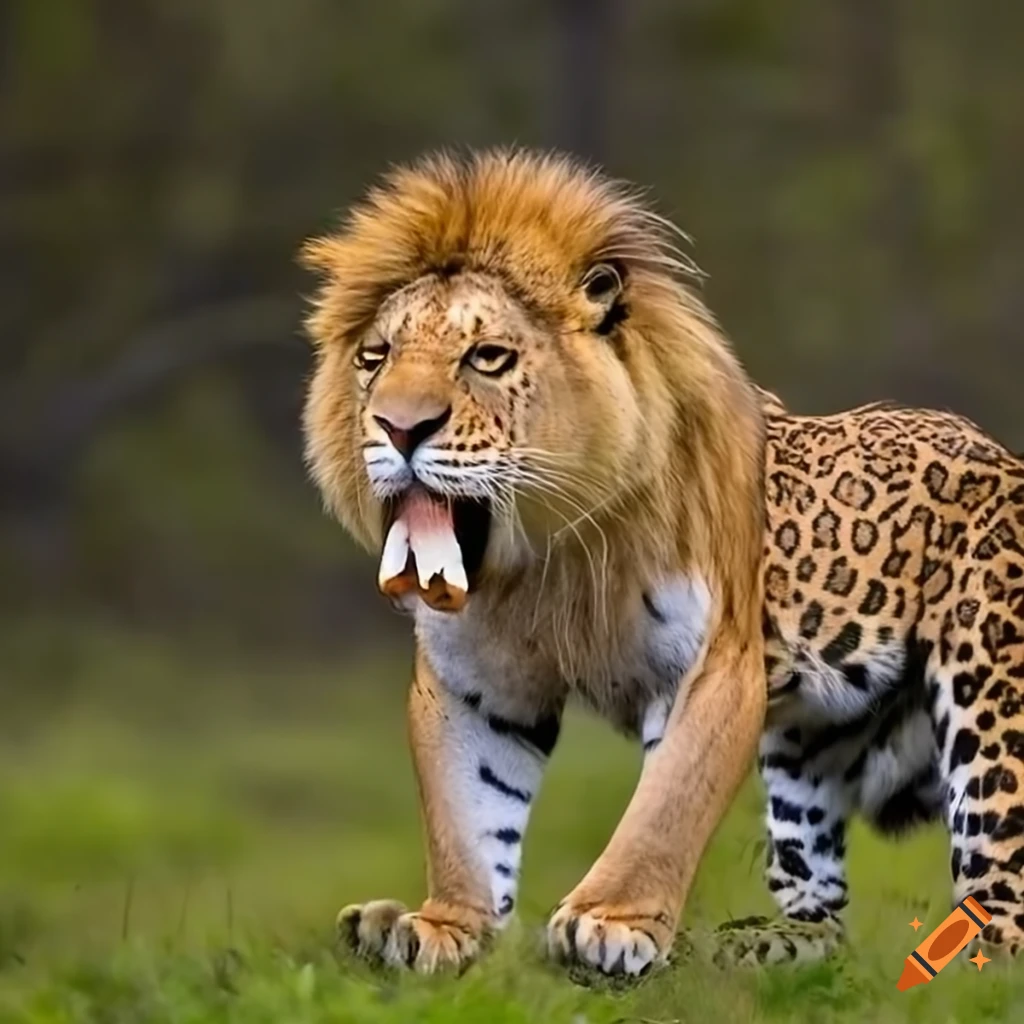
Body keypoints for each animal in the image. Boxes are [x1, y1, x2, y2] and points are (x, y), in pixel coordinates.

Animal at [299, 147, 1024, 978]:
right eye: (375, 358)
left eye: (487, 358)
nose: (398, 426)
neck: (543, 561)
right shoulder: (468, 683)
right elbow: (465, 815)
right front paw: (442, 929)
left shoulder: (712, 663)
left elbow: (667, 807)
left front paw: (609, 924)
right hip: (807, 761)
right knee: (826, 914)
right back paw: (759, 945)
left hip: (989, 703)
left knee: (1002, 907)